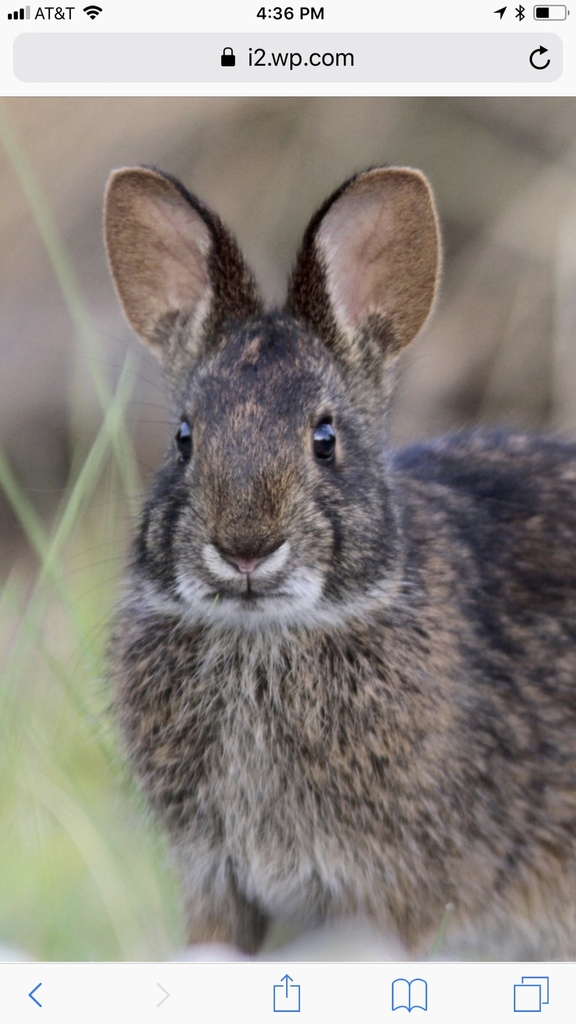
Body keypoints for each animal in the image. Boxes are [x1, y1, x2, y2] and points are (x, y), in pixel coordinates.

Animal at [104, 165, 576, 960]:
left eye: (325, 438)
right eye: (184, 438)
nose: (245, 547)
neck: (264, 639)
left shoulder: (392, 888)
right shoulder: (215, 879)